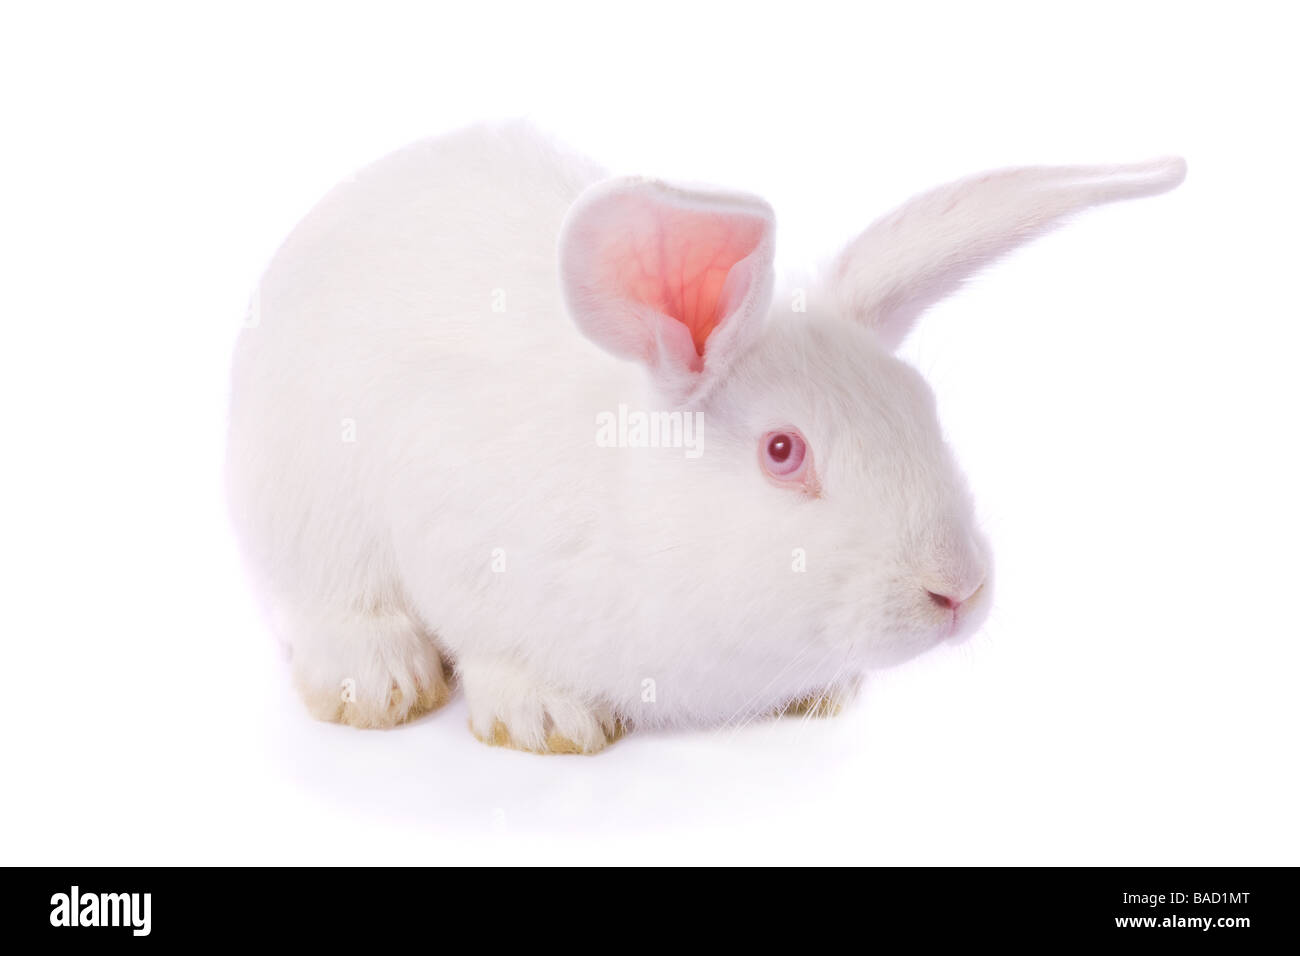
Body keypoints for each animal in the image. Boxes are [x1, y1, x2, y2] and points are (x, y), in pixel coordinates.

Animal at [226, 121, 1185, 753]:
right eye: (782, 452)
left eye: (921, 402)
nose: (958, 590)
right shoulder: (449, 521)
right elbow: (493, 644)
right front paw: (547, 717)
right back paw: (377, 678)